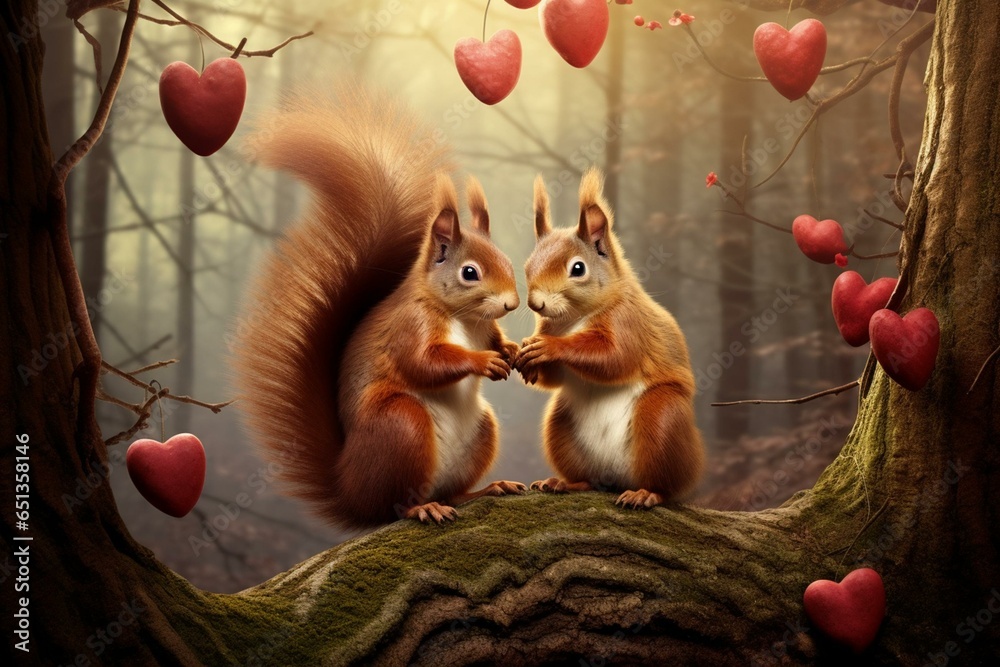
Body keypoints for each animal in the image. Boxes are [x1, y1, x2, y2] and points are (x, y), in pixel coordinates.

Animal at [232, 86, 526, 529]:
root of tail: (350, 490)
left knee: (453, 493)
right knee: (394, 505)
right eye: (469, 272)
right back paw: (422, 507)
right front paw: (484, 361)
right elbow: (423, 362)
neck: (465, 319)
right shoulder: (411, 325)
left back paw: (488, 488)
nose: (511, 302)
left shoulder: (483, 327)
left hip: (481, 433)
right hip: (401, 425)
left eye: (507, 260)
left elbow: (492, 338)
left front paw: (509, 349)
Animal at [514, 167, 705, 508]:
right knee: (587, 478)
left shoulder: (628, 323)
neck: (572, 319)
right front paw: (527, 357)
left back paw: (646, 493)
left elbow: (615, 357)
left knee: (666, 485)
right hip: (559, 427)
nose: (537, 303)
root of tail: (616, 478)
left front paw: (550, 347)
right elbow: (553, 380)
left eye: (578, 268)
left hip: (663, 417)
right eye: (528, 265)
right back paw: (563, 483)